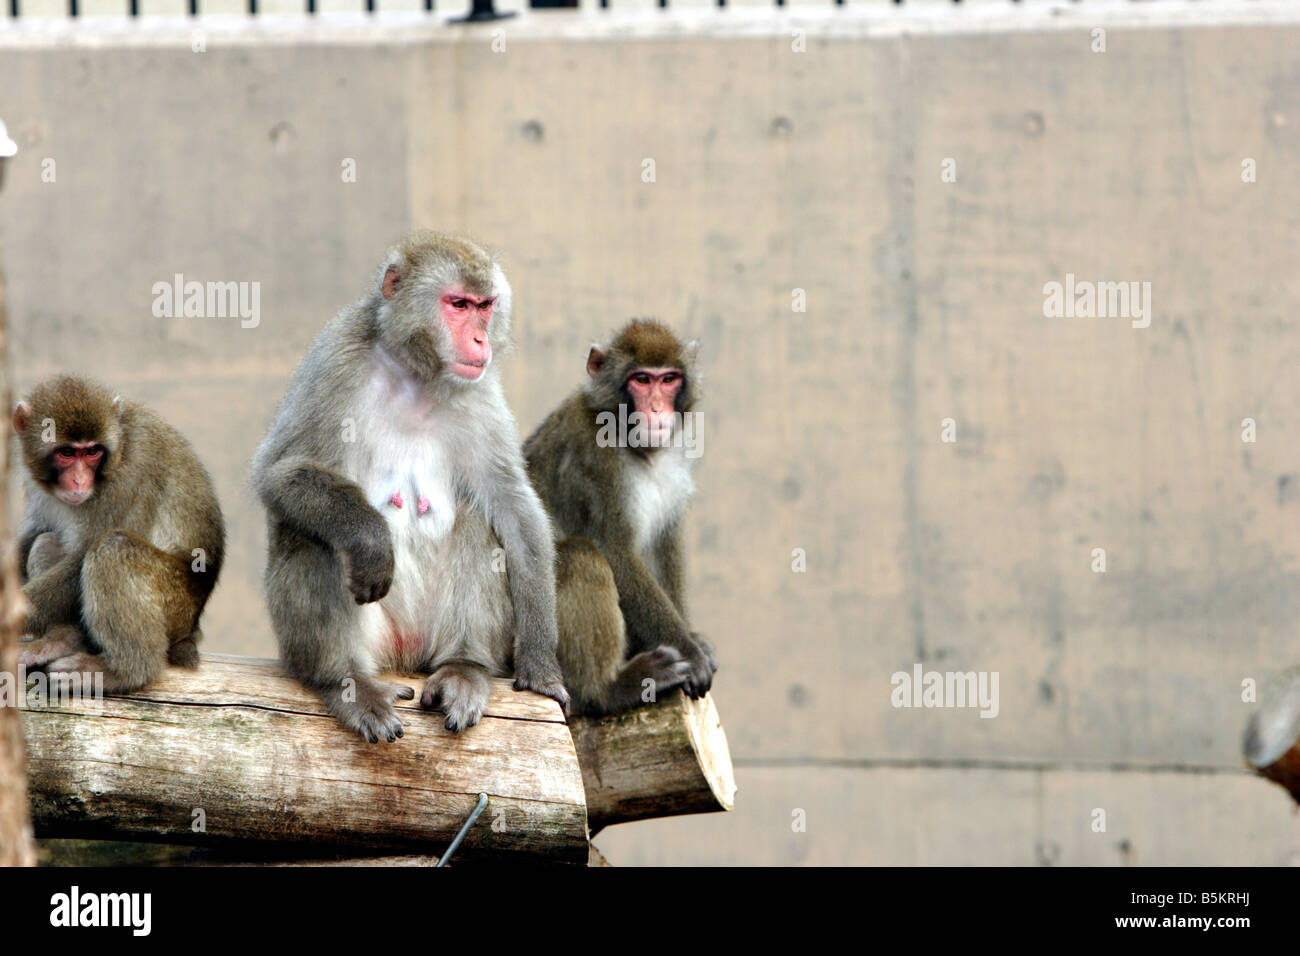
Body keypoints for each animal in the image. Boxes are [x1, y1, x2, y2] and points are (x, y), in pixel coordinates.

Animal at [13, 376, 225, 692]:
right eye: (67, 453)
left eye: (92, 452)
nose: (80, 481)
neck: (120, 447)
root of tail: (192, 625)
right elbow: (35, 533)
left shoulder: (131, 477)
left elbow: (80, 562)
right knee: (47, 541)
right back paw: (61, 639)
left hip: (176, 606)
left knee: (114, 548)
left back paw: (123, 672)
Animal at [251, 231, 569, 743]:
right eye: (457, 304)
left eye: (484, 306)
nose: (480, 338)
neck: (416, 374)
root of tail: (405, 655)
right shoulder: (335, 357)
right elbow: (279, 472)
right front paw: (369, 538)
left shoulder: (482, 392)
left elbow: (513, 507)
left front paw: (540, 662)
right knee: (311, 531)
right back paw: (347, 681)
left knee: (479, 522)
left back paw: (464, 667)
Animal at [524, 319, 716, 717]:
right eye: (641, 380)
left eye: (669, 379)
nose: (656, 408)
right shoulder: (596, 458)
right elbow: (615, 551)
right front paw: (690, 651)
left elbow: (663, 545)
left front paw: (691, 637)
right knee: (580, 555)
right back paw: (608, 689)